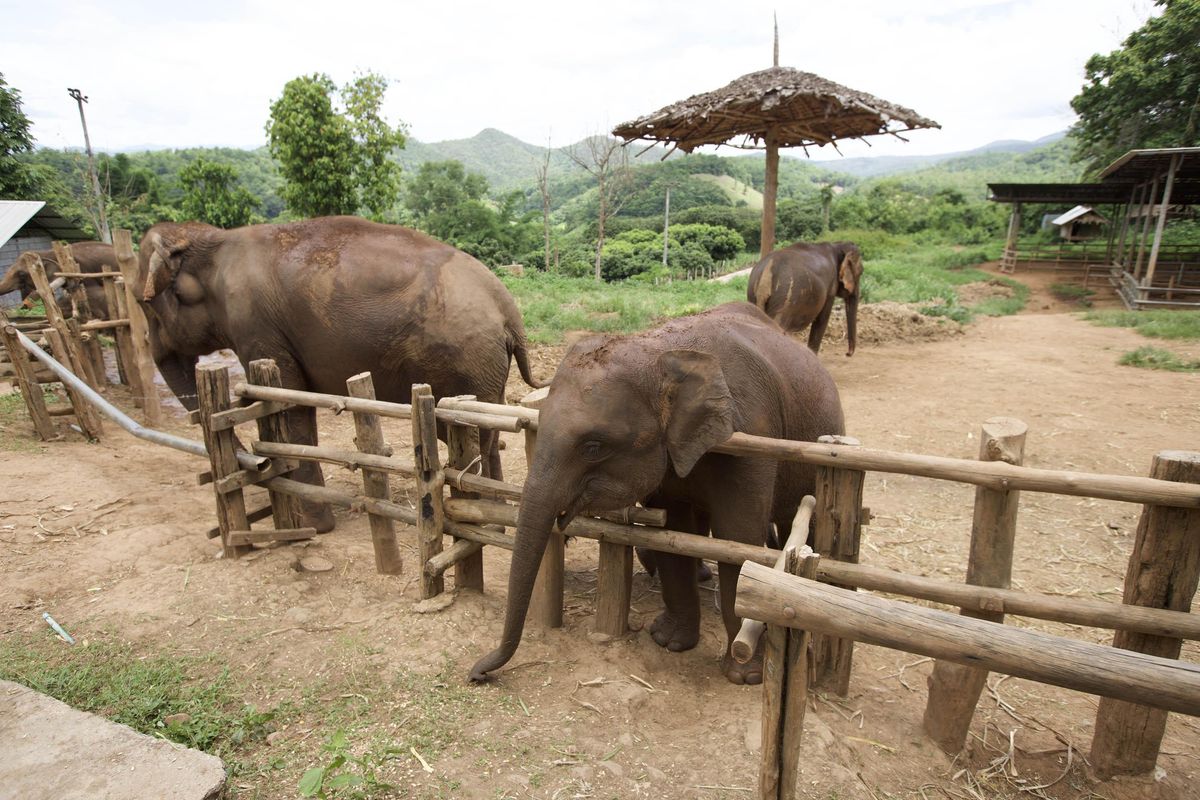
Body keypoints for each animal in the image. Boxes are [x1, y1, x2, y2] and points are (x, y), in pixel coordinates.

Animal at [134, 216, 545, 532]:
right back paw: (493, 521)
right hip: (483, 368)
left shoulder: (256, 328)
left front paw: (312, 527)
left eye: (144, 304)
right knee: (488, 434)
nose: (257, 463)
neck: (213, 240)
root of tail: (508, 310)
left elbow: (289, 403)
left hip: (463, 360)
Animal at [469, 302, 845, 685]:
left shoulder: (749, 437)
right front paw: (669, 641)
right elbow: (671, 531)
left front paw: (744, 676)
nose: (477, 674)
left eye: (593, 447)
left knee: (799, 521)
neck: (660, 353)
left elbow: (738, 537)